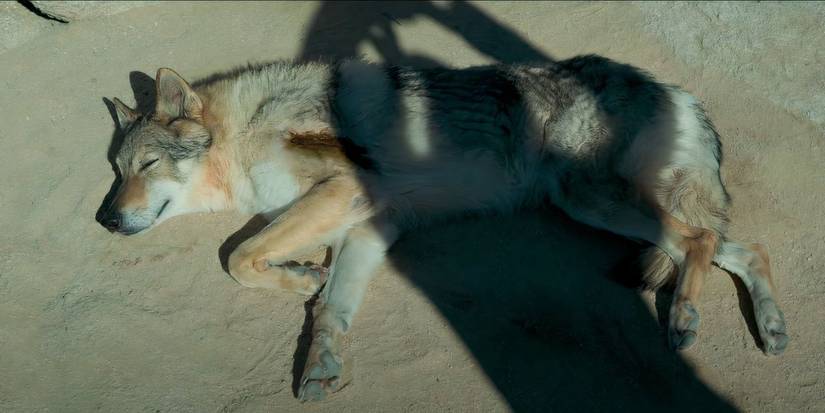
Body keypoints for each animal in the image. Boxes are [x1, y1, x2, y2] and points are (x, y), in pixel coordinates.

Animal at [98, 55, 788, 401]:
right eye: (117, 170)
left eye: (148, 166)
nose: (106, 218)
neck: (244, 134)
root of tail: (673, 88)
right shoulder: (368, 227)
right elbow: (331, 310)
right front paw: (321, 359)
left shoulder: (344, 191)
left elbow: (239, 258)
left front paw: (299, 279)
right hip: (620, 206)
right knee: (744, 248)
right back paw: (773, 327)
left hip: (589, 199)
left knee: (700, 241)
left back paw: (683, 319)